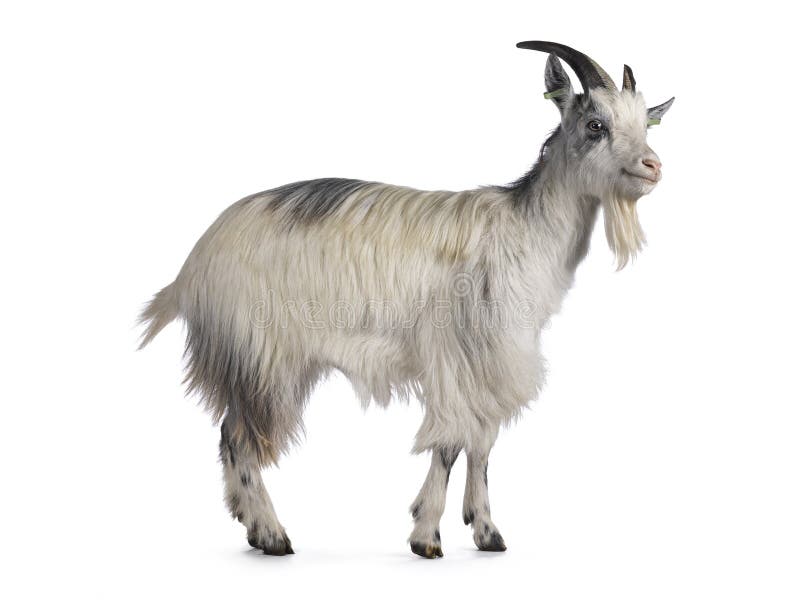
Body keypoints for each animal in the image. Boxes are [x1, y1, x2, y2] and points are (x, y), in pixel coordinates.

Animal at [139, 41, 674, 558]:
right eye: (595, 124)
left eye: (645, 123)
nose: (653, 166)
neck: (524, 231)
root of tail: (194, 263)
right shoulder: (457, 357)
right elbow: (450, 443)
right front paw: (427, 536)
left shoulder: (494, 362)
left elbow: (483, 443)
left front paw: (486, 532)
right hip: (260, 355)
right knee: (239, 437)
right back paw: (272, 535)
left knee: (229, 434)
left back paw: (250, 525)